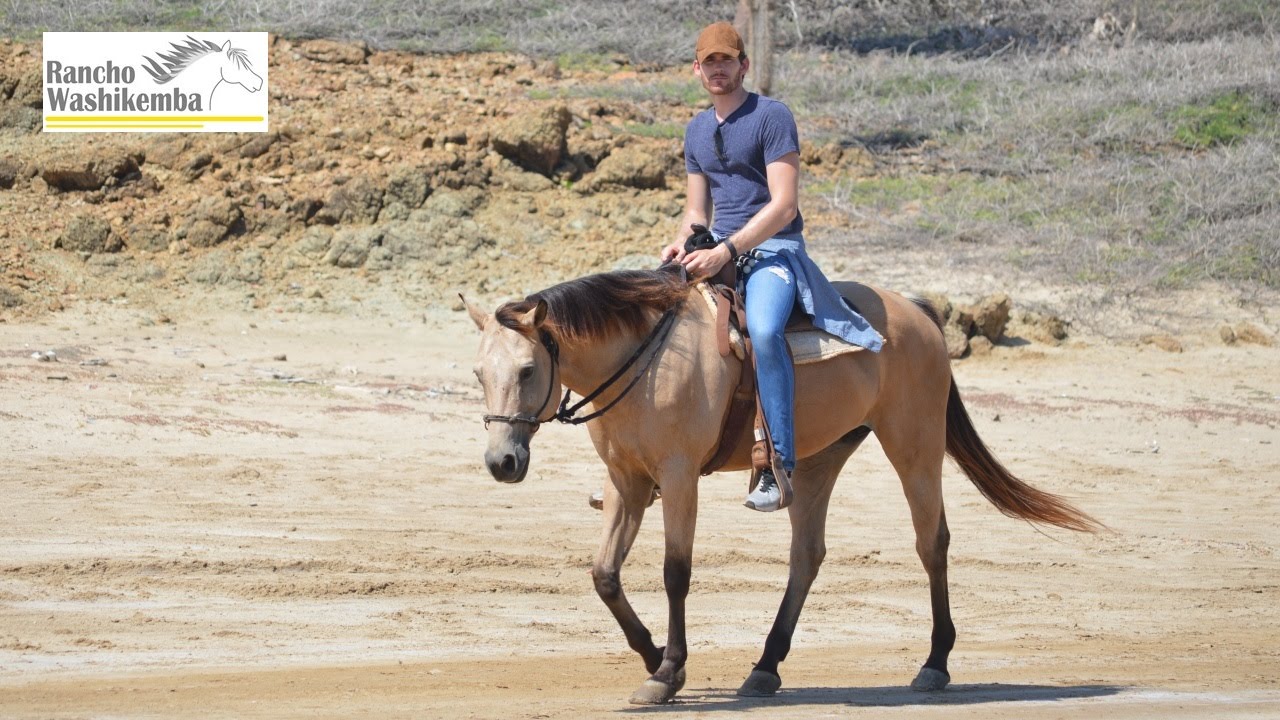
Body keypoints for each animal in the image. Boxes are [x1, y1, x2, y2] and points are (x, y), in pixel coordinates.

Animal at [464, 266, 1099, 705]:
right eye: (477, 372)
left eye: (527, 370)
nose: (501, 461)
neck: (647, 361)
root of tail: (917, 312)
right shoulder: (626, 482)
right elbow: (604, 575)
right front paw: (651, 655)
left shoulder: (677, 478)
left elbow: (675, 573)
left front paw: (668, 672)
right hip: (819, 463)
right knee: (806, 556)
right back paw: (765, 666)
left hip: (915, 448)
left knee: (931, 544)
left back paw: (935, 663)